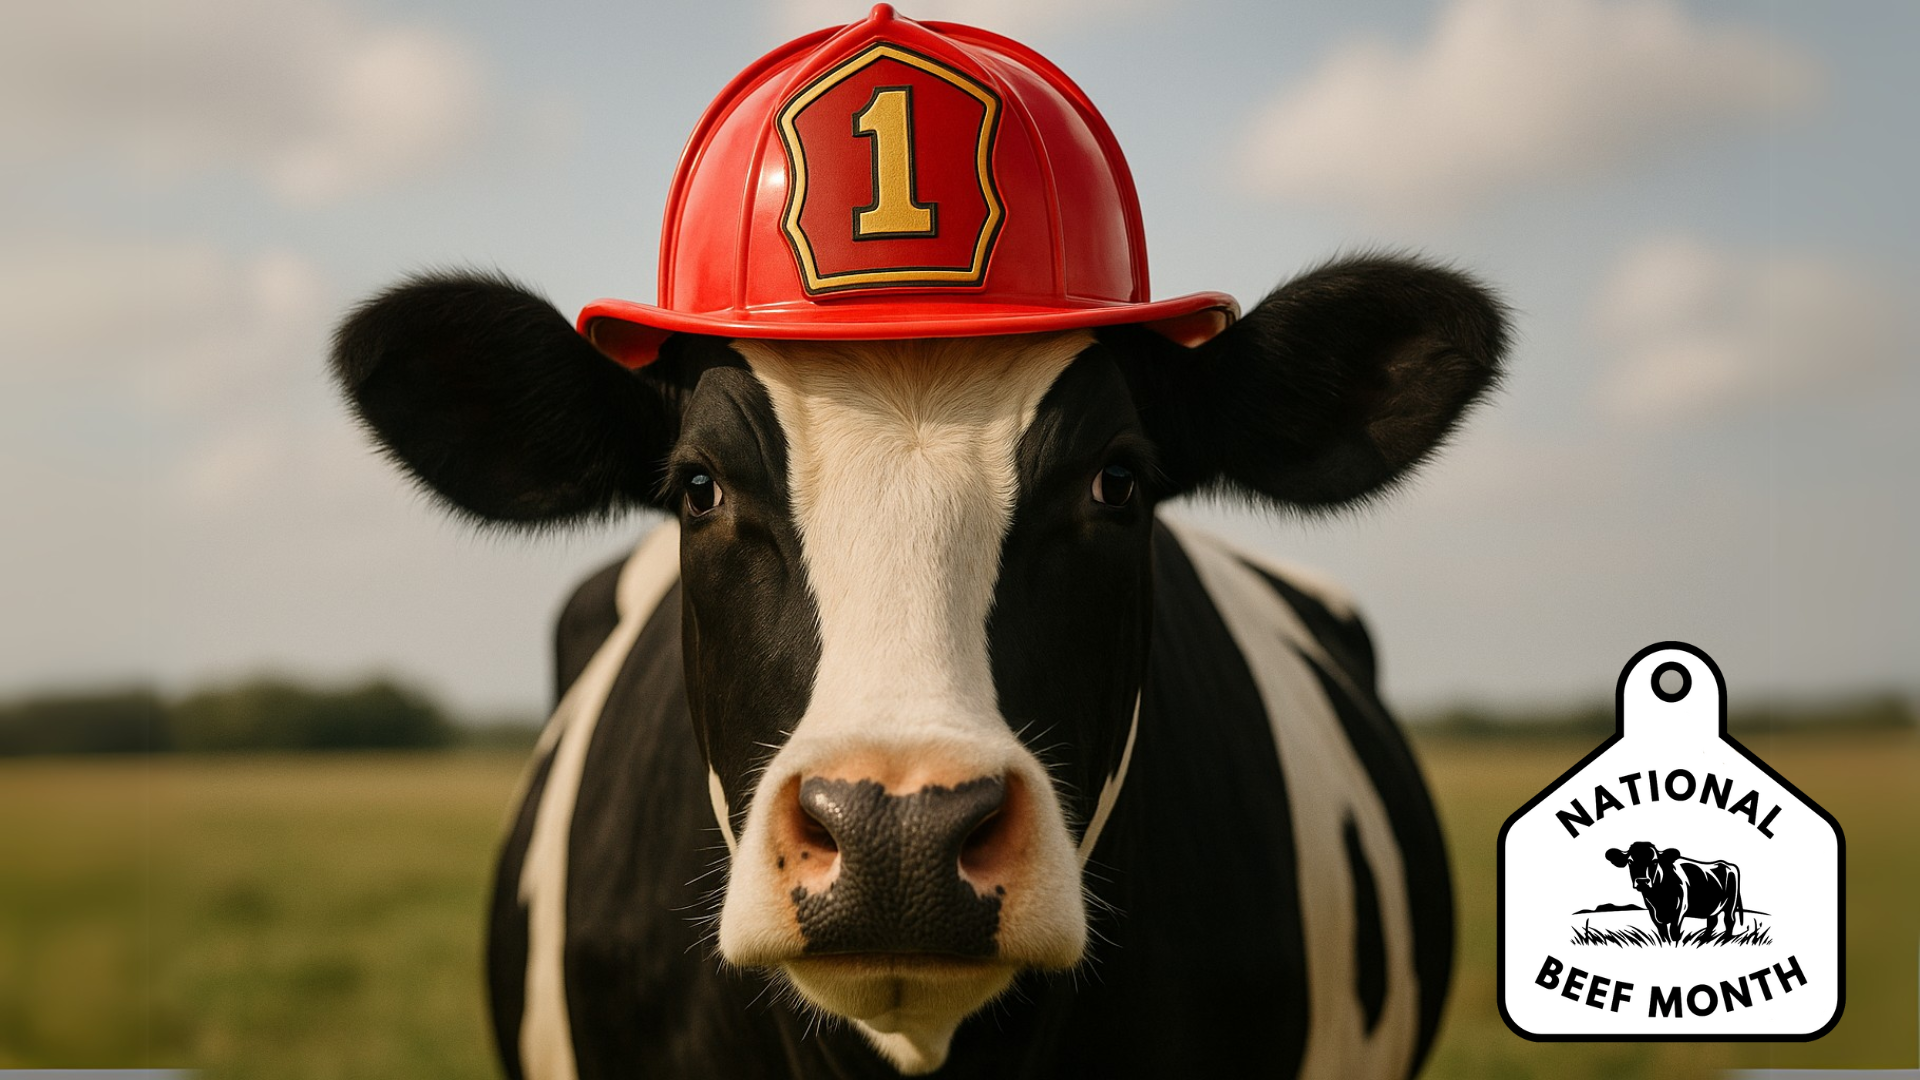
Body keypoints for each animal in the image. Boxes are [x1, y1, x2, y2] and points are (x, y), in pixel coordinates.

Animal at [1604, 842, 1745, 943]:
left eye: (1655, 861)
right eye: (1630, 861)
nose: (1642, 881)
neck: (1658, 896)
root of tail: (1726, 864)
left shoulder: (1680, 909)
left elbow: (1674, 931)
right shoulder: (1653, 911)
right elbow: (1662, 932)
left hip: (1731, 903)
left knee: (1729, 920)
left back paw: (1725, 940)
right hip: (1713, 905)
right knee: (1712, 921)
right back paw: (1704, 939)